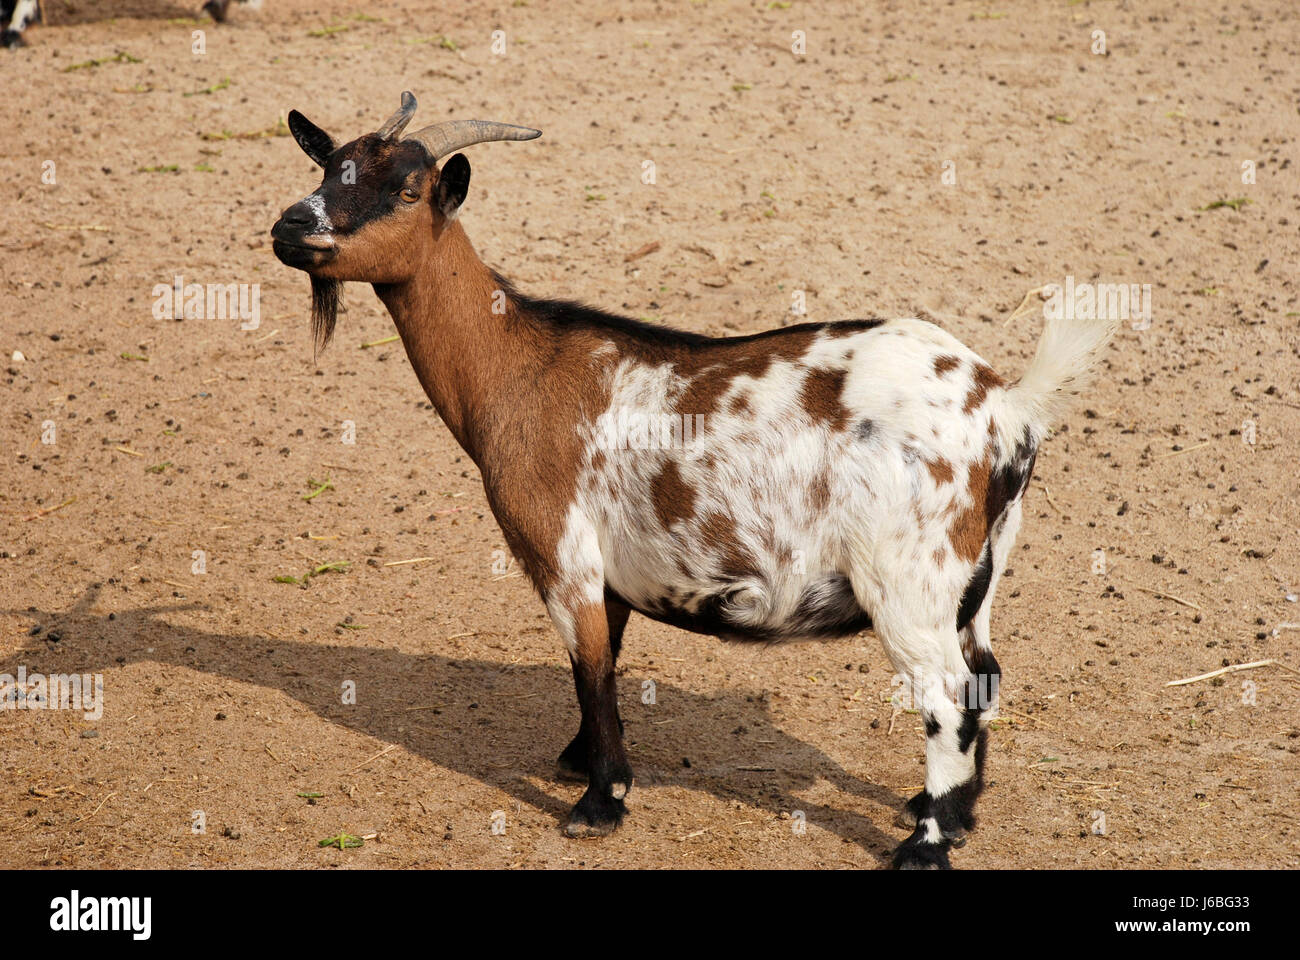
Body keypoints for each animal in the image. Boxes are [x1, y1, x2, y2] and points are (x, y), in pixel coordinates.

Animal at [270, 92, 1118, 868]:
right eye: (327, 167)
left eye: (407, 190)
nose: (290, 228)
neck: (522, 367)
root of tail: (1006, 405)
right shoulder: (609, 570)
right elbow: (607, 653)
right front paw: (579, 760)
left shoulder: (561, 553)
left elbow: (590, 668)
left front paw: (601, 801)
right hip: (978, 573)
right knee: (985, 675)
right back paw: (954, 812)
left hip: (909, 579)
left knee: (946, 693)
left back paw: (926, 844)